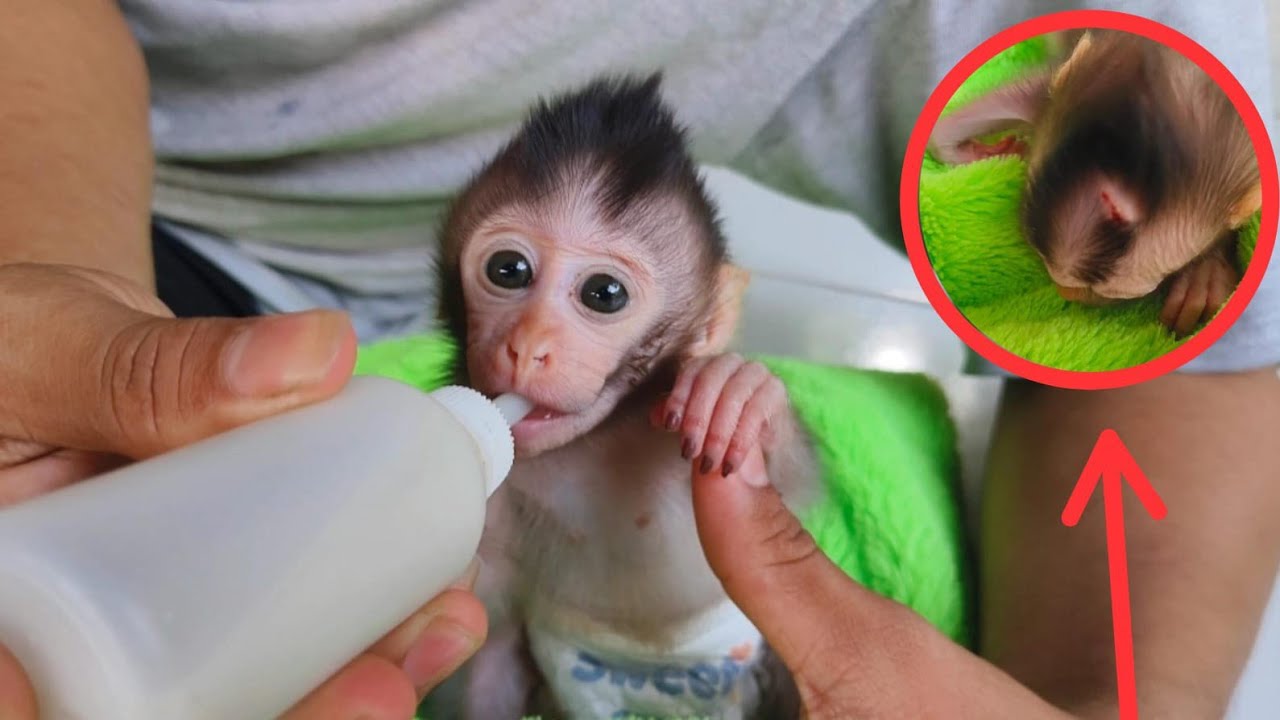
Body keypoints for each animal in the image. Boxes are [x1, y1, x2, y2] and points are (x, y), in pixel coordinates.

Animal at [427, 74, 820, 719]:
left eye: (603, 294)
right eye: (508, 270)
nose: (527, 346)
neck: (600, 438)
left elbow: (799, 483)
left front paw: (740, 395)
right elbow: (483, 599)